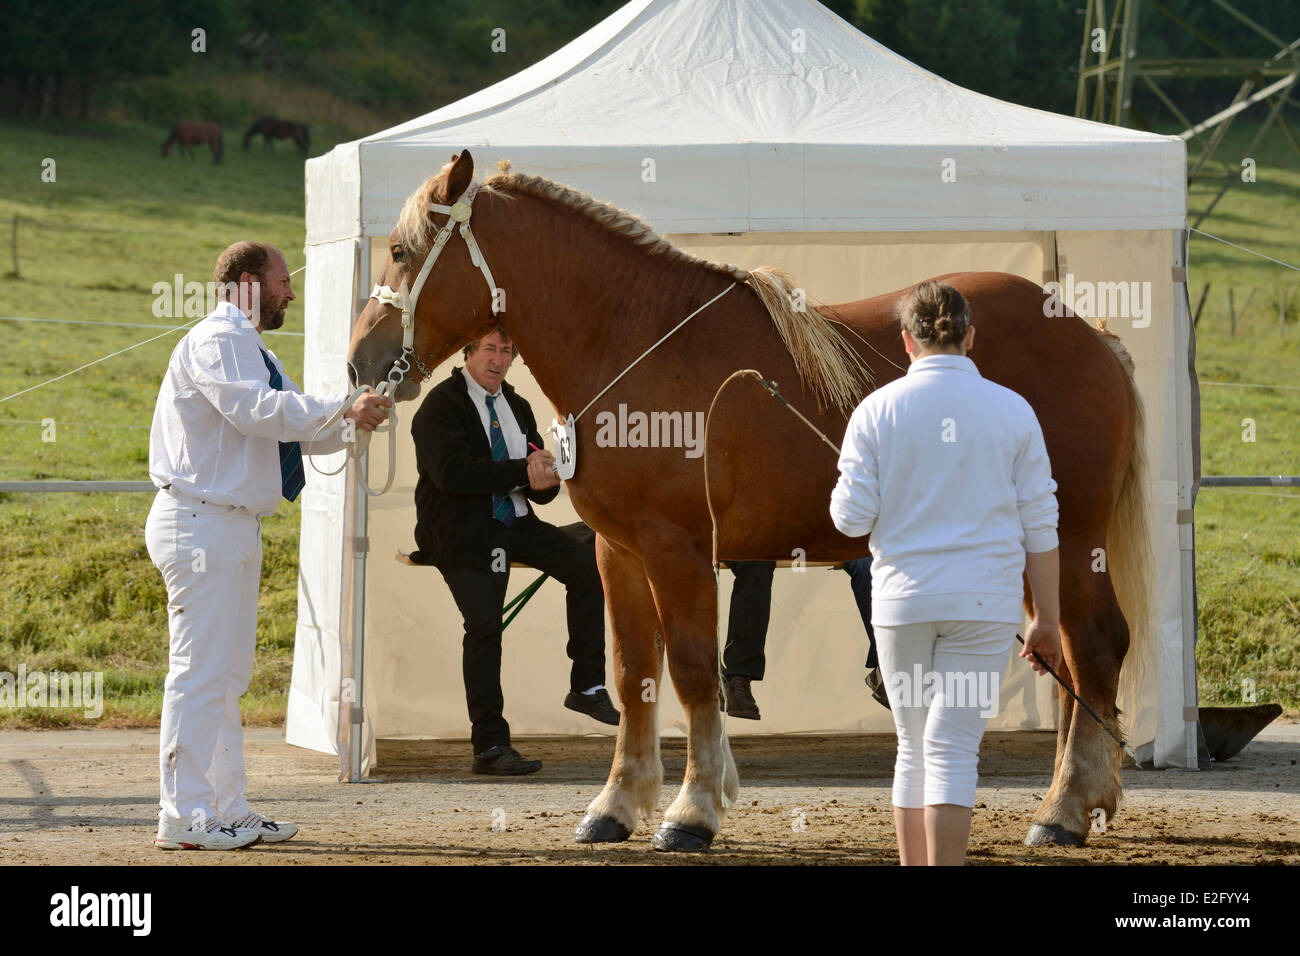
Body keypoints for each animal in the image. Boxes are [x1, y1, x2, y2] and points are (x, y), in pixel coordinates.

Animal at [346, 150, 1152, 852]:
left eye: (402, 249)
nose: (359, 361)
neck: (631, 338)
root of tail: (1091, 336)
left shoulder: (678, 548)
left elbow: (692, 671)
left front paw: (693, 812)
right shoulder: (618, 551)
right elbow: (632, 673)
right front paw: (617, 805)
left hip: (1071, 541)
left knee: (1093, 648)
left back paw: (1065, 811)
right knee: (1071, 659)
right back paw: (1082, 800)